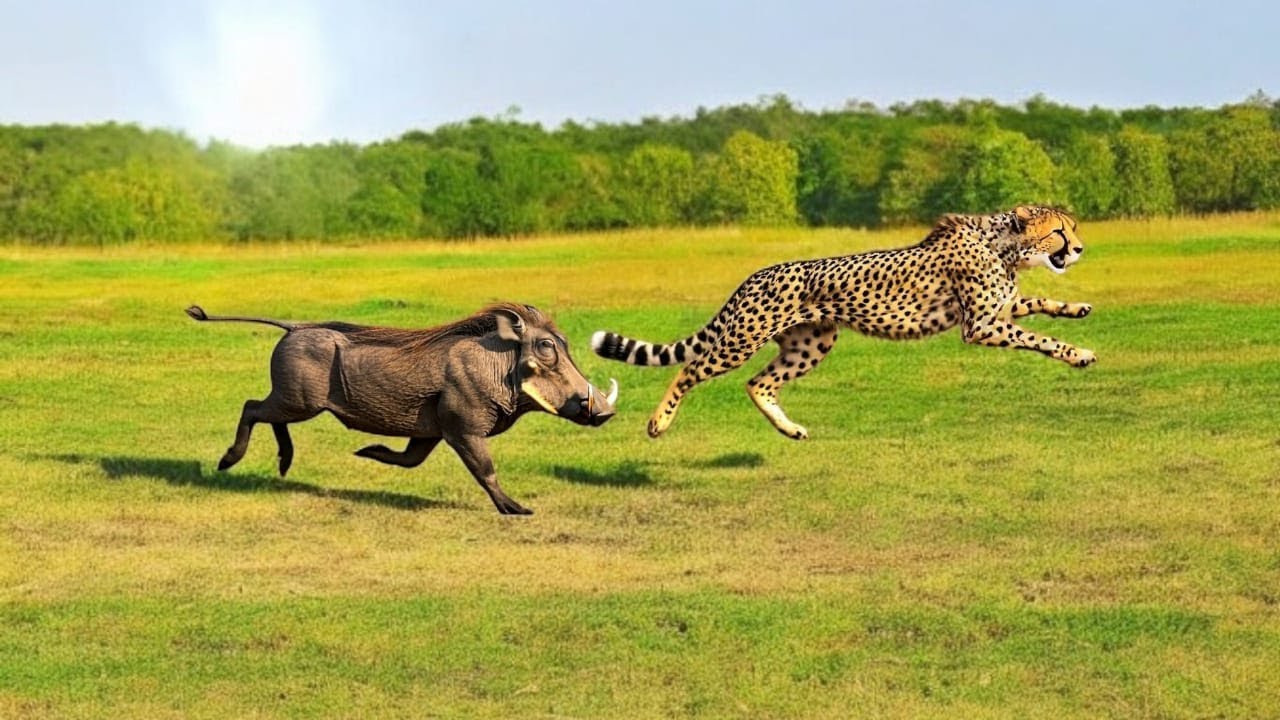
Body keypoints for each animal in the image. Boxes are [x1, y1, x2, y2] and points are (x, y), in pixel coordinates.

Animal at [591, 205, 1096, 440]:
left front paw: (1078, 310)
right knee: (690, 368)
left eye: (1072, 229)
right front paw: (1078, 353)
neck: (1004, 244)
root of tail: (756, 274)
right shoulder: (981, 327)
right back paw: (658, 422)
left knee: (758, 383)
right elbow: (1038, 337)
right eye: (1059, 230)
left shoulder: (996, 312)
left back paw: (790, 429)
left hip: (812, 343)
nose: (1078, 249)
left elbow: (1039, 302)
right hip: (742, 339)